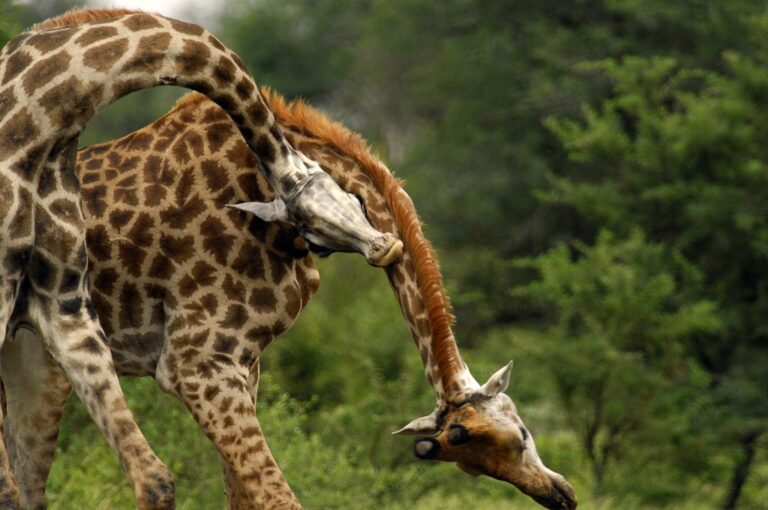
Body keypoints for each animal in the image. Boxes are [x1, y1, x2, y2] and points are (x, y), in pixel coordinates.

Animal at [0, 7, 401, 510]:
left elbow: (158, 480)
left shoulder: (65, 305)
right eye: (316, 237)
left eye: (355, 201)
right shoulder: (194, 358)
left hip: (32, 359)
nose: (388, 246)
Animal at [3, 90, 578, 509]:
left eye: (477, 459)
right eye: (520, 434)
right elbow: (276, 495)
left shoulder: (244, 364)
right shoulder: (195, 363)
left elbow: (242, 494)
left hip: (36, 360)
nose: (562, 495)